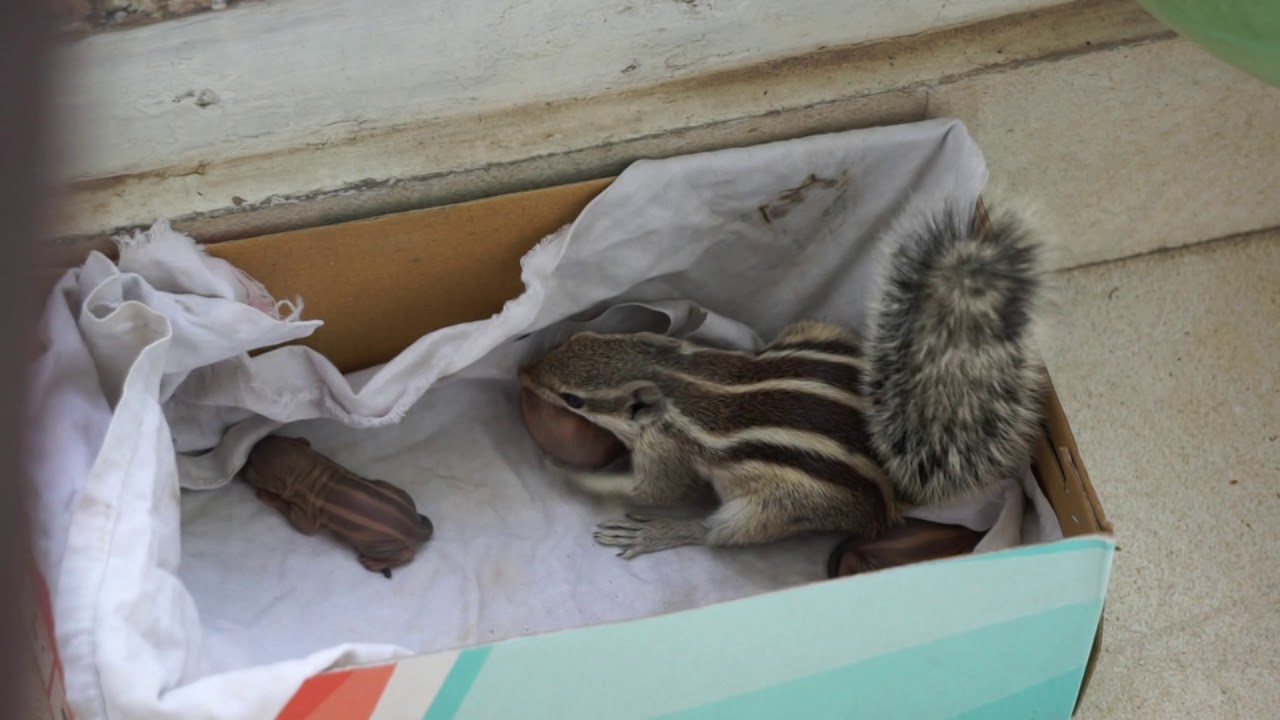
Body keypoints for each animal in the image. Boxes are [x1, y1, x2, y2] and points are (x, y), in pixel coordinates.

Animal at [518, 202, 1046, 559]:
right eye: (579, 337)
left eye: (573, 399)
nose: (522, 373)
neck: (671, 372)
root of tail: (895, 482)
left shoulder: (666, 455)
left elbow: (653, 492)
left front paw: (562, 469)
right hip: (817, 330)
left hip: (779, 504)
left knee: (719, 532)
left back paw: (657, 533)